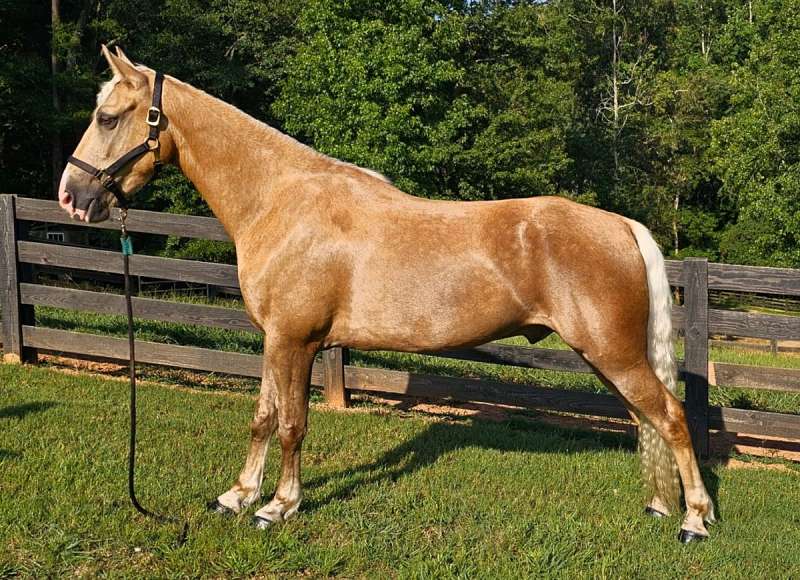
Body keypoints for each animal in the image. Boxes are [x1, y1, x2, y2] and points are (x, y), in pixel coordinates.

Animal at [57, 46, 714, 542]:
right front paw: (238, 496)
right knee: (645, 421)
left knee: (671, 418)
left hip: (614, 355)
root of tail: (620, 224)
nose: (70, 195)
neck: (281, 199)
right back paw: (662, 506)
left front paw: (278, 506)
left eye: (109, 117)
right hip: (608, 358)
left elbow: (292, 423)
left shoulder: (296, 342)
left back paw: (695, 521)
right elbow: (263, 417)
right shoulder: (275, 340)